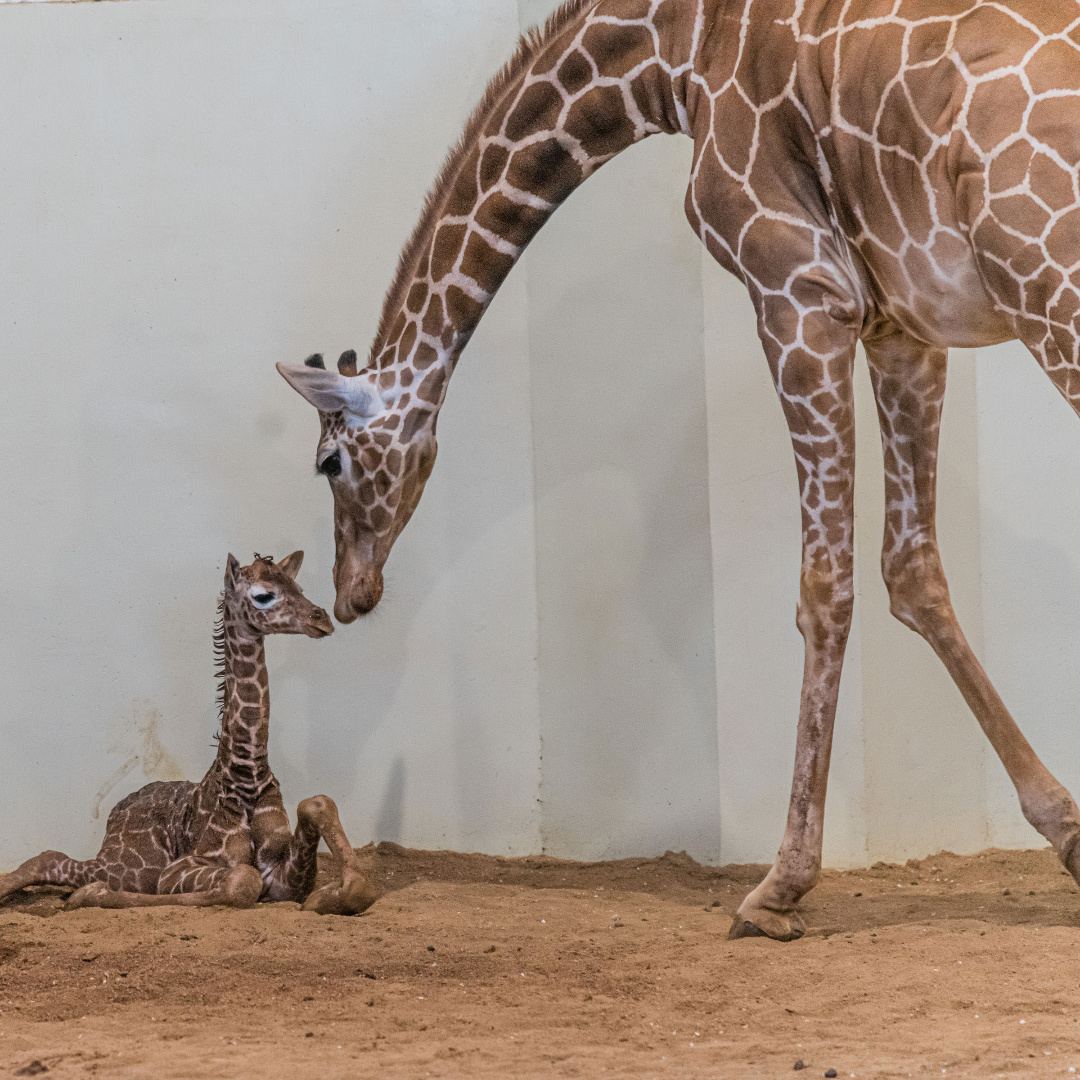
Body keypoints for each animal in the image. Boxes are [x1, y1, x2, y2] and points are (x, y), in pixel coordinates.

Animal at [0, 553, 377, 915]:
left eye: (297, 586)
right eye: (263, 595)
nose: (322, 619)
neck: (247, 774)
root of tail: (117, 810)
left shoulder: (278, 875)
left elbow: (319, 807)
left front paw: (329, 898)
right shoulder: (176, 870)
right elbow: (242, 880)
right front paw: (90, 895)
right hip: (130, 868)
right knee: (51, 858)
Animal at [278, 0, 1080, 939]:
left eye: (330, 462)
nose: (350, 595)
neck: (677, 49)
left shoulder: (800, 296)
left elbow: (824, 586)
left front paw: (779, 887)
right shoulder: (900, 325)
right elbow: (911, 572)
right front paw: (1067, 831)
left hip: (1050, 297)